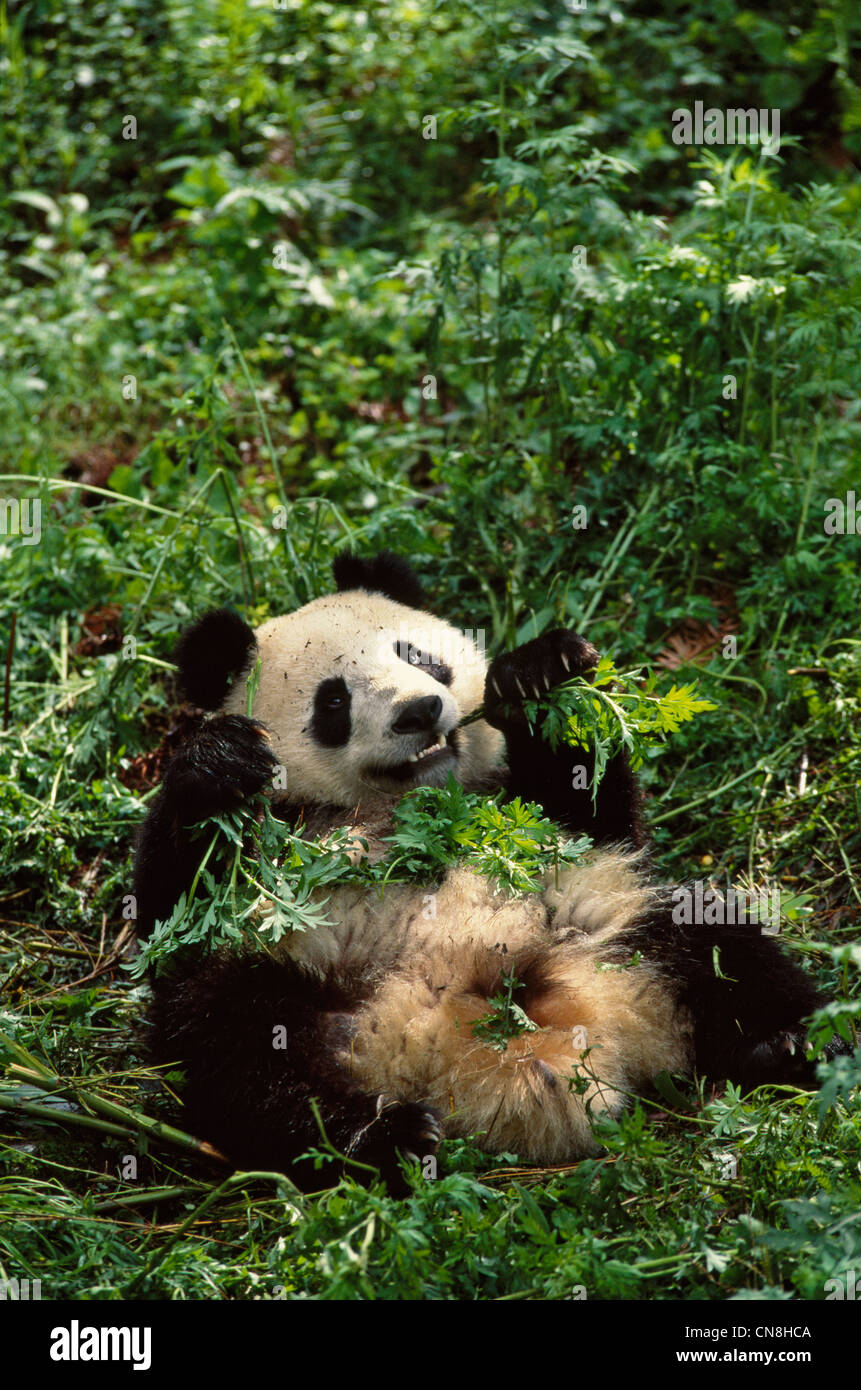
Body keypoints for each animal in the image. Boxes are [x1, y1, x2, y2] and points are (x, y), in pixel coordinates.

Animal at [133, 550, 836, 1191]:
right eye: (332, 701)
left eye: (416, 656)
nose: (419, 711)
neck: (405, 806)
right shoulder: (279, 843)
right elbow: (175, 918)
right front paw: (221, 760)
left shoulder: (537, 823)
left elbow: (596, 813)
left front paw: (540, 673)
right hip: (308, 986)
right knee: (239, 1053)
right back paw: (388, 1138)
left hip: (610, 926)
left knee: (712, 937)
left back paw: (791, 1045)